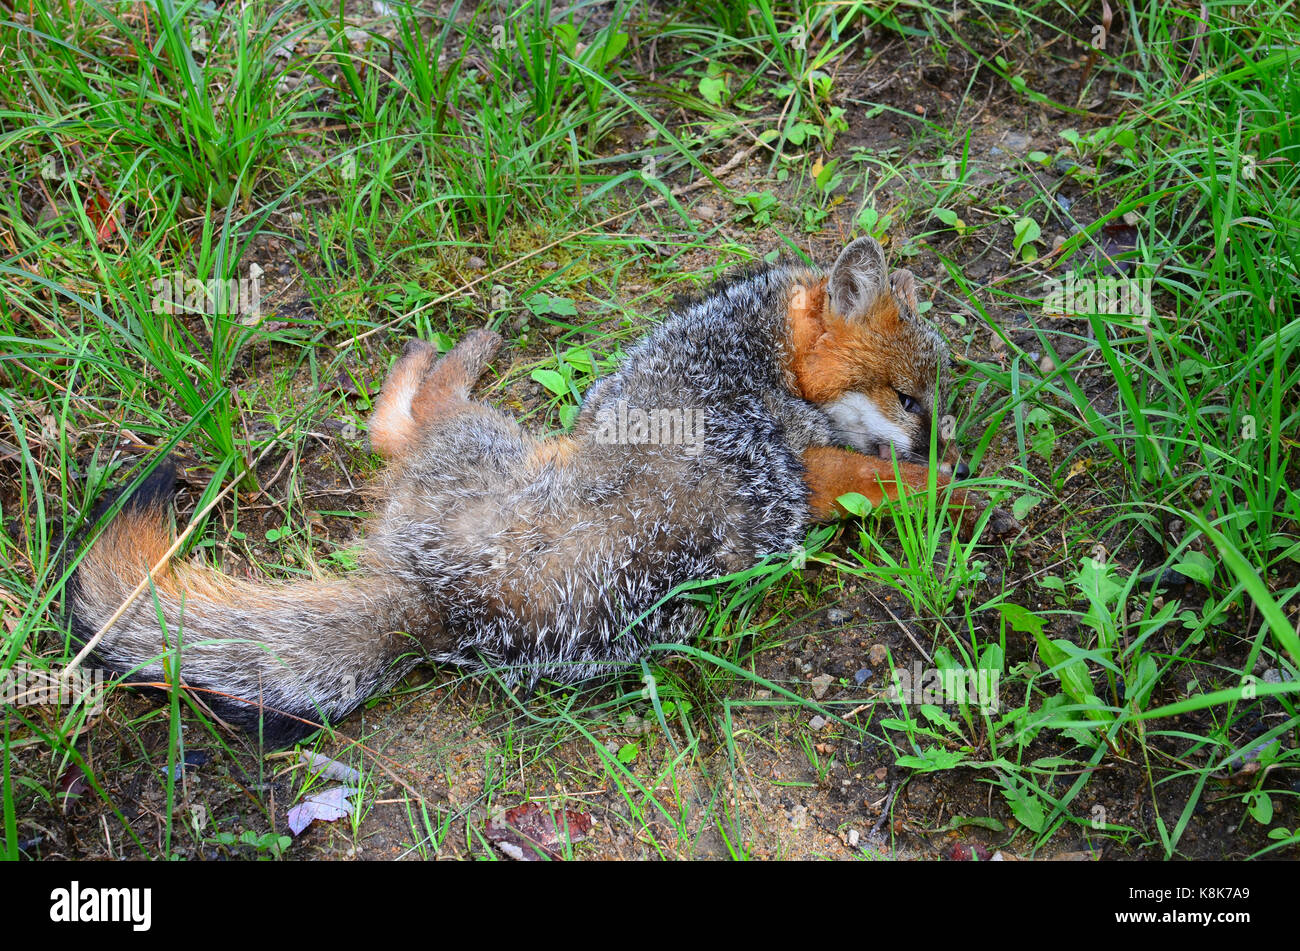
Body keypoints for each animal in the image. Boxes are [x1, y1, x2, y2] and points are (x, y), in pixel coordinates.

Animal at [66, 236, 1007, 747]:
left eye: (937, 398)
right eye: (908, 398)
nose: (949, 441)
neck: (748, 353)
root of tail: (430, 601)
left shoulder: (799, 478)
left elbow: (881, 483)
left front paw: (960, 482)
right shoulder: (798, 465)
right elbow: (883, 476)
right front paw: (966, 487)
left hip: (494, 449)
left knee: (394, 431)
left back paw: (437, 355)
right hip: (502, 438)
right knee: (412, 418)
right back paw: (458, 348)